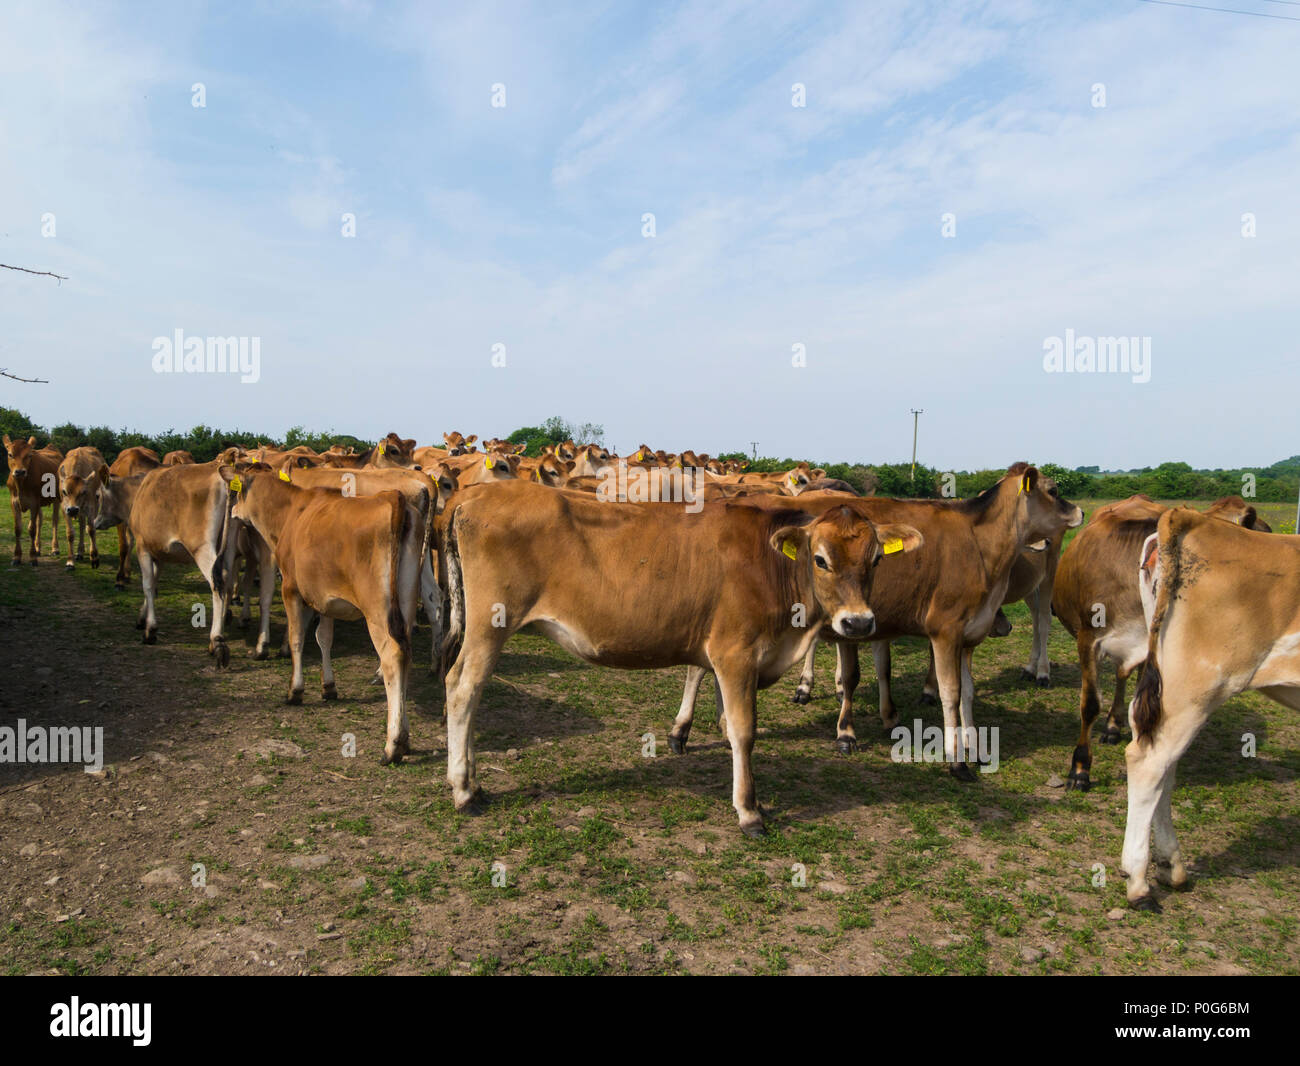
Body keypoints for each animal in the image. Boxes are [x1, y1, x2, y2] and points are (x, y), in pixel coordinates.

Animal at [4, 435, 63, 566]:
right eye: (10, 454)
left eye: (29, 455)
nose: (20, 471)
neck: (20, 485)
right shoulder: (14, 502)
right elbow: (18, 529)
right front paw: (16, 557)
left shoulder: (34, 502)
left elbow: (31, 529)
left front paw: (32, 558)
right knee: (39, 521)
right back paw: (37, 548)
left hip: (57, 498)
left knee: (54, 520)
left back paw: (55, 548)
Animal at [224, 468, 433, 764]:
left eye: (237, 490)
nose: (232, 512)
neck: (291, 512)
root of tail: (393, 498)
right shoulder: (326, 598)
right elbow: (324, 638)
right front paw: (329, 686)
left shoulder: (291, 589)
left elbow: (297, 638)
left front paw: (295, 690)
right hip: (404, 599)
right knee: (406, 653)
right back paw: (404, 739)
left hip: (377, 608)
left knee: (392, 656)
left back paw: (393, 745)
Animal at [437, 480, 922, 834]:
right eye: (820, 559)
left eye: (876, 560)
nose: (858, 623)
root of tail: (476, 491)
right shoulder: (735, 652)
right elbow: (744, 730)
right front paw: (749, 810)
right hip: (490, 624)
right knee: (463, 688)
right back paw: (463, 790)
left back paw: (472, 779)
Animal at [1121, 508, 1300, 910]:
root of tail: (1188, 516)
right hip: (1195, 686)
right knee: (1149, 763)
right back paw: (1138, 882)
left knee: (1164, 767)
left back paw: (1170, 866)